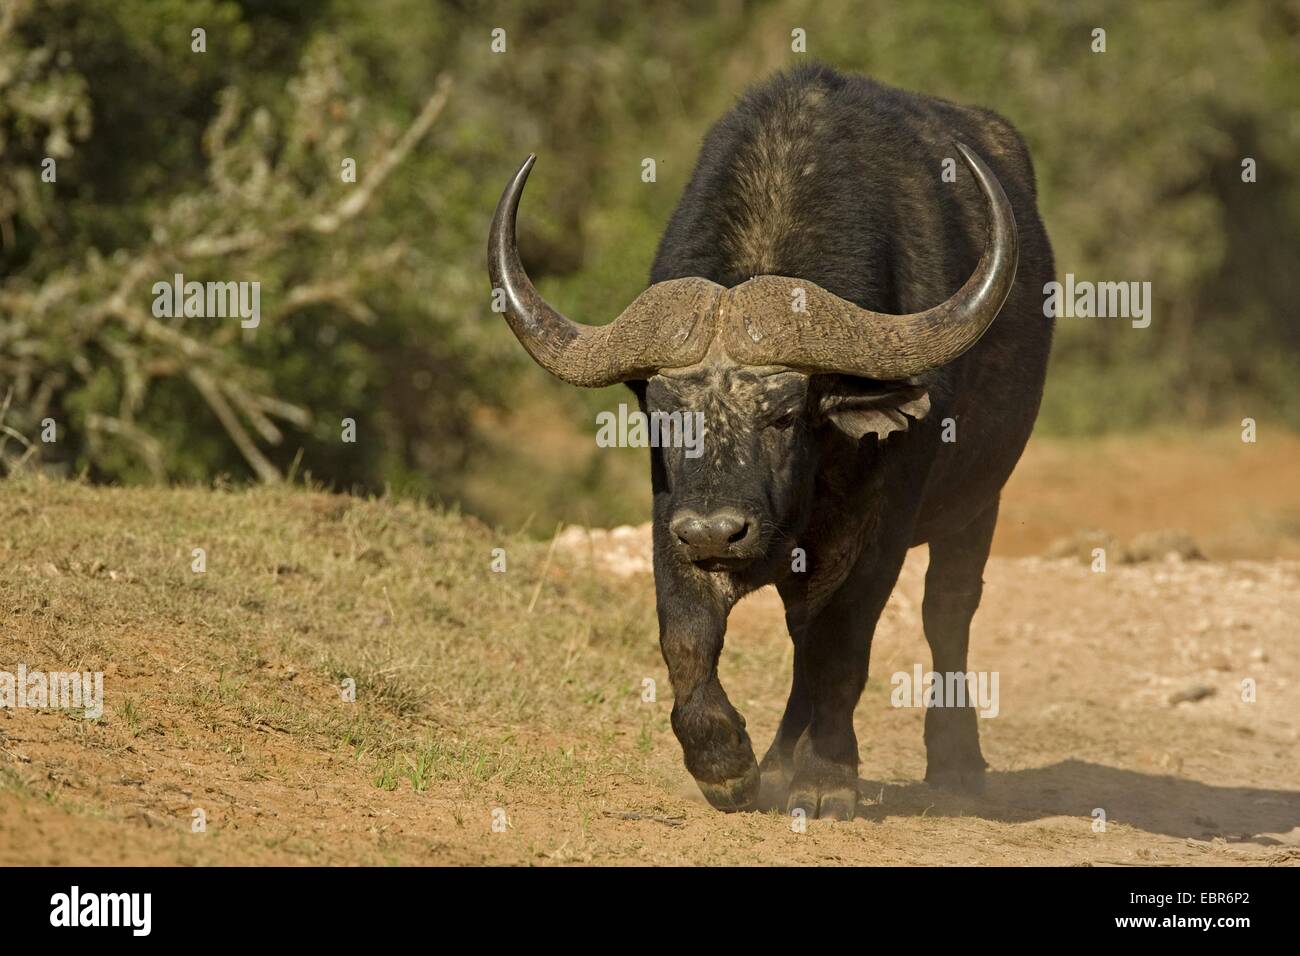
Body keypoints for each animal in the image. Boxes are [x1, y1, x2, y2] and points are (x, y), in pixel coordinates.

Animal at [489, 64, 1054, 820]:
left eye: (784, 413)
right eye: (666, 414)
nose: (715, 533)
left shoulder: (883, 522)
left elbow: (844, 643)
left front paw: (826, 779)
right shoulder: (672, 514)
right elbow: (686, 635)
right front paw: (727, 763)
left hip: (979, 502)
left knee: (947, 610)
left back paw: (956, 762)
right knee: (802, 630)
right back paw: (783, 753)